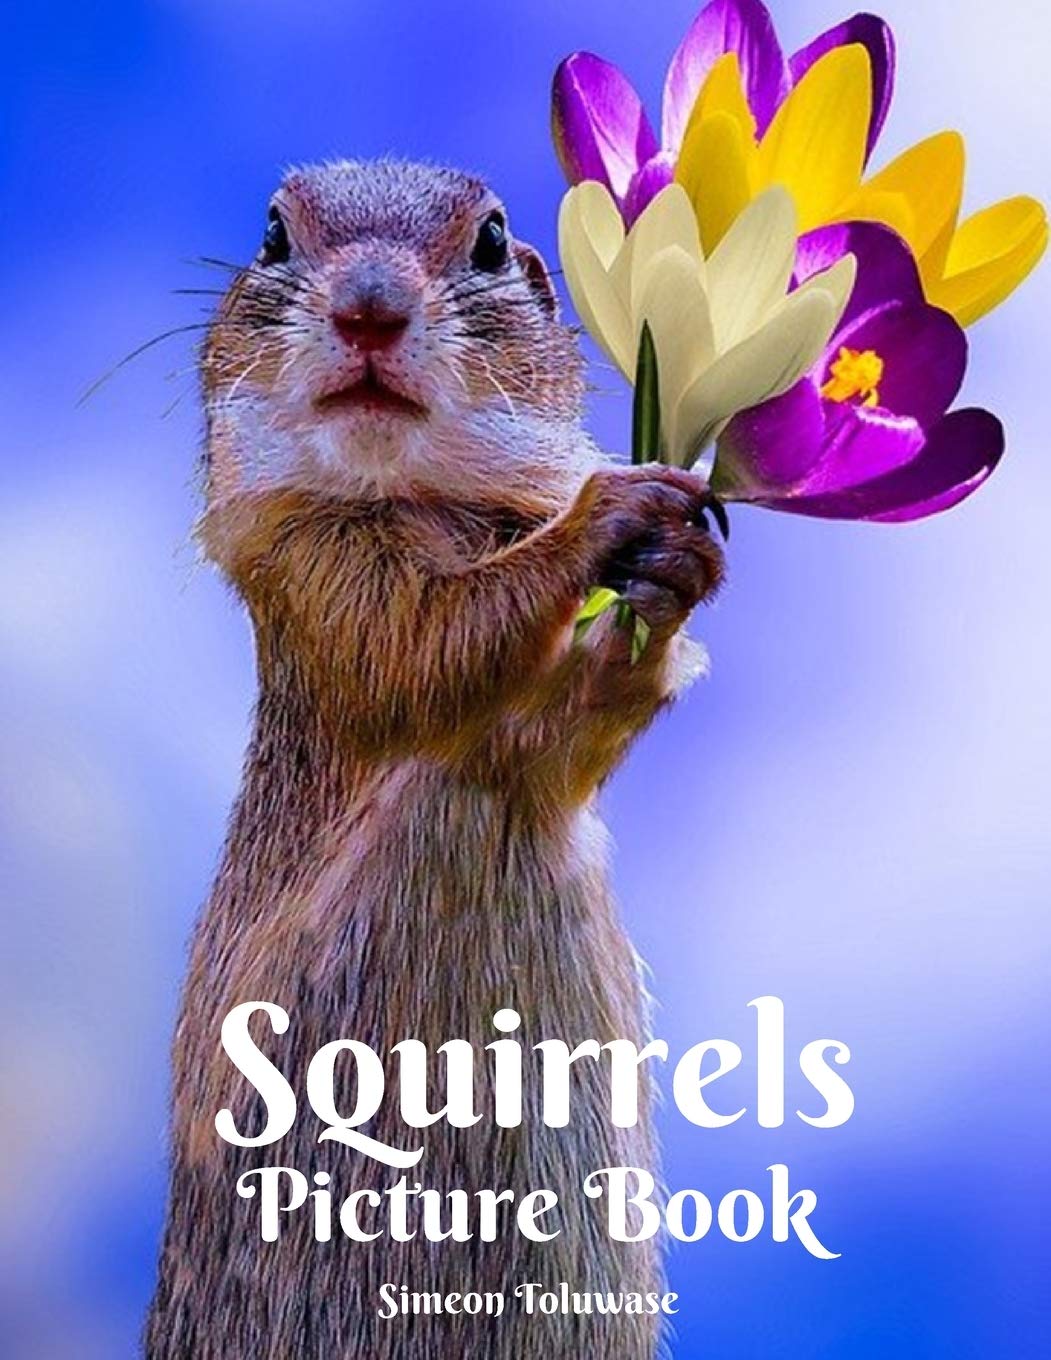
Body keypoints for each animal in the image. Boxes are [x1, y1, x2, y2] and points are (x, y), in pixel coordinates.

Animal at [145, 159, 724, 1360]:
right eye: (272, 235)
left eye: (493, 239)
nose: (368, 309)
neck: (411, 494)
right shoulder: (315, 571)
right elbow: (429, 641)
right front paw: (611, 513)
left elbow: (576, 715)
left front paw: (668, 579)